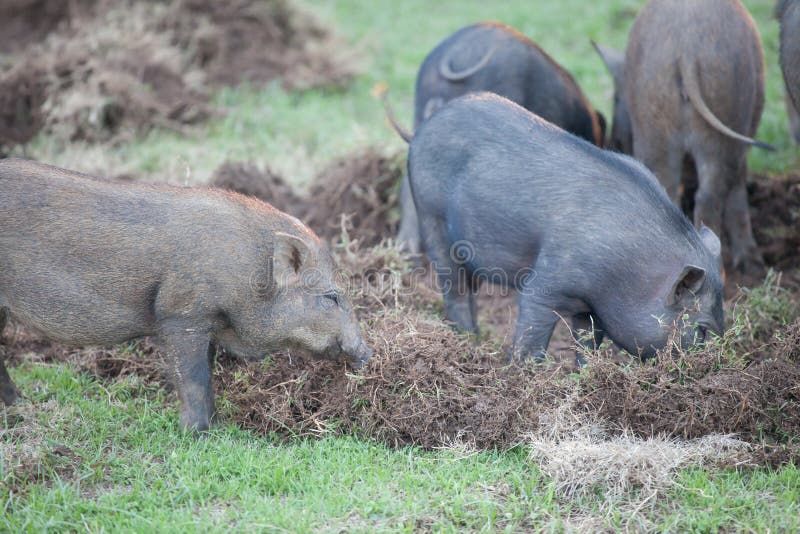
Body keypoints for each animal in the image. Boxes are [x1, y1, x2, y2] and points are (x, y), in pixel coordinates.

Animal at [0, 159, 371, 432]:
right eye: (331, 297)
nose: (367, 354)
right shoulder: (182, 315)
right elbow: (193, 377)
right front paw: (198, 434)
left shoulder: (206, 325)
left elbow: (207, 377)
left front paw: (218, 426)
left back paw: (19, 406)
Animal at [405, 93, 724, 363]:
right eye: (702, 328)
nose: (719, 362)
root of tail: (422, 130)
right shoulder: (546, 282)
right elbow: (532, 337)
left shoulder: (590, 309)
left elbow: (587, 343)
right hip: (430, 216)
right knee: (455, 290)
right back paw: (468, 343)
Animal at [593, 0, 773, 275]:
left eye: (615, 98)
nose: (614, 140)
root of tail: (686, 50)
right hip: (726, 119)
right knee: (710, 197)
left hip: (657, 118)